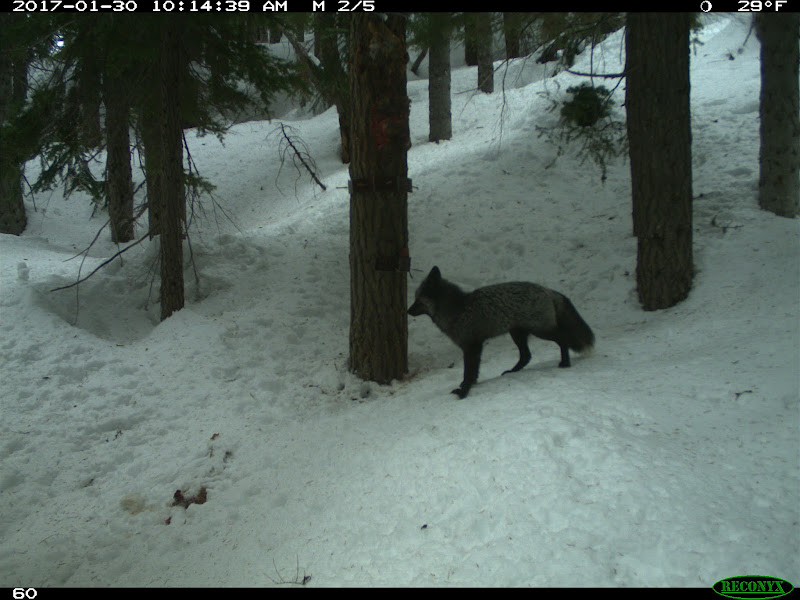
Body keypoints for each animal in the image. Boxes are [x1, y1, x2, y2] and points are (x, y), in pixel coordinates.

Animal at [408, 266, 595, 398]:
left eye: (418, 301)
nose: (408, 311)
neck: (458, 310)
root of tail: (547, 289)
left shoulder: (472, 346)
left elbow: (468, 372)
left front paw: (464, 392)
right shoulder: (475, 346)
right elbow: (473, 372)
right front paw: (469, 385)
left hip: (541, 331)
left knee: (563, 340)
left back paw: (565, 363)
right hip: (518, 334)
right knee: (526, 355)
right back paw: (513, 372)